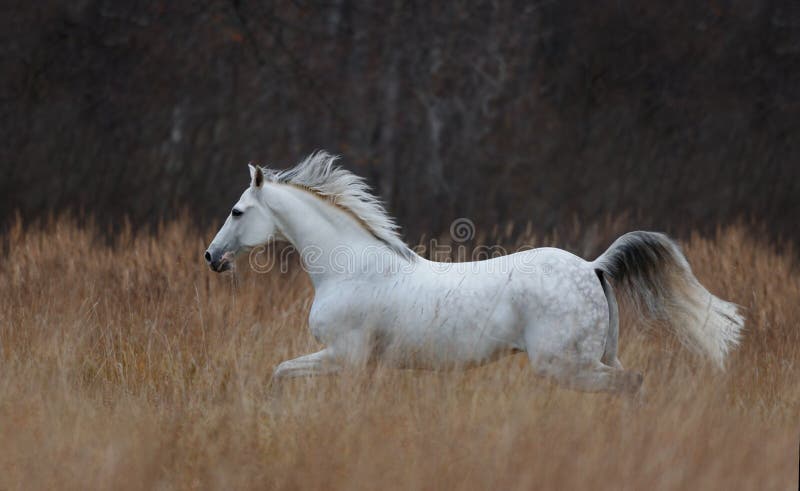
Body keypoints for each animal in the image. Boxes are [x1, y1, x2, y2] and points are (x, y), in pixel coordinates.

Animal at [205, 152, 744, 393]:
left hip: (563, 364)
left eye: (236, 211)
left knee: (630, 383)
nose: (212, 257)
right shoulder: (364, 364)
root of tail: (594, 267)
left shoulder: (344, 355)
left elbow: (281, 372)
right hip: (593, 357)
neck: (353, 270)